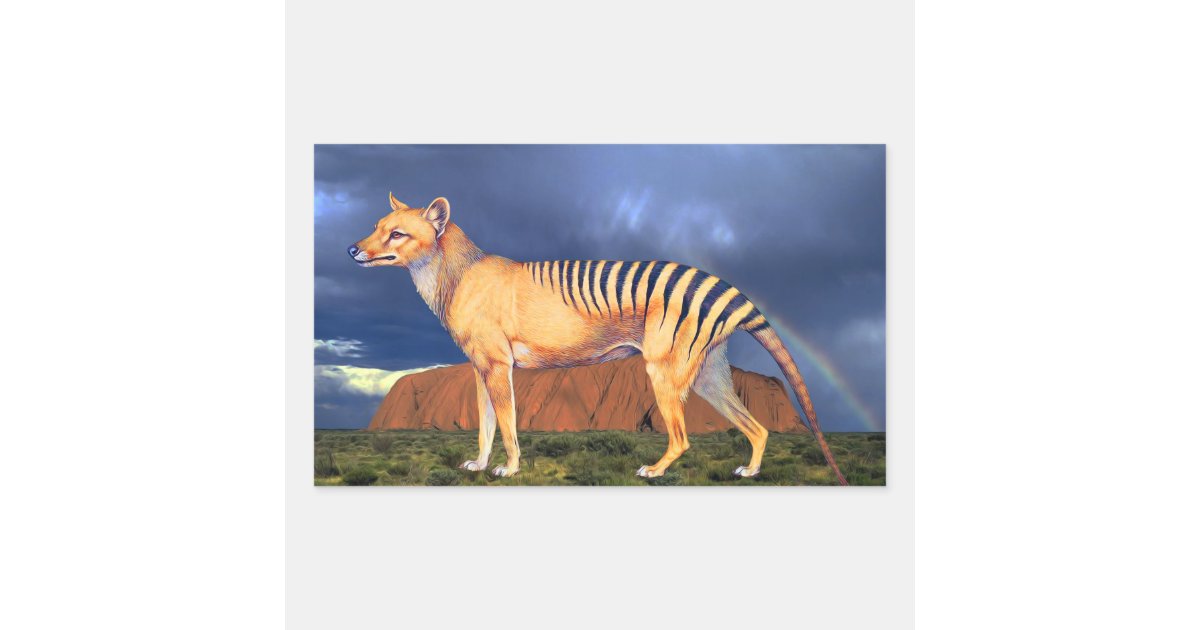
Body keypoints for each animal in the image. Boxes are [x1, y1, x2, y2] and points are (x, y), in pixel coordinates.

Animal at [348, 194, 848, 484]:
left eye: (397, 233)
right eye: (375, 225)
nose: (352, 249)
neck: (457, 273)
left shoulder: (498, 367)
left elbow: (507, 425)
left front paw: (509, 468)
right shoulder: (480, 369)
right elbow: (486, 424)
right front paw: (479, 463)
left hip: (664, 371)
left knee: (683, 437)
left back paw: (654, 470)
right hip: (708, 375)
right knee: (758, 427)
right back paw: (751, 470)